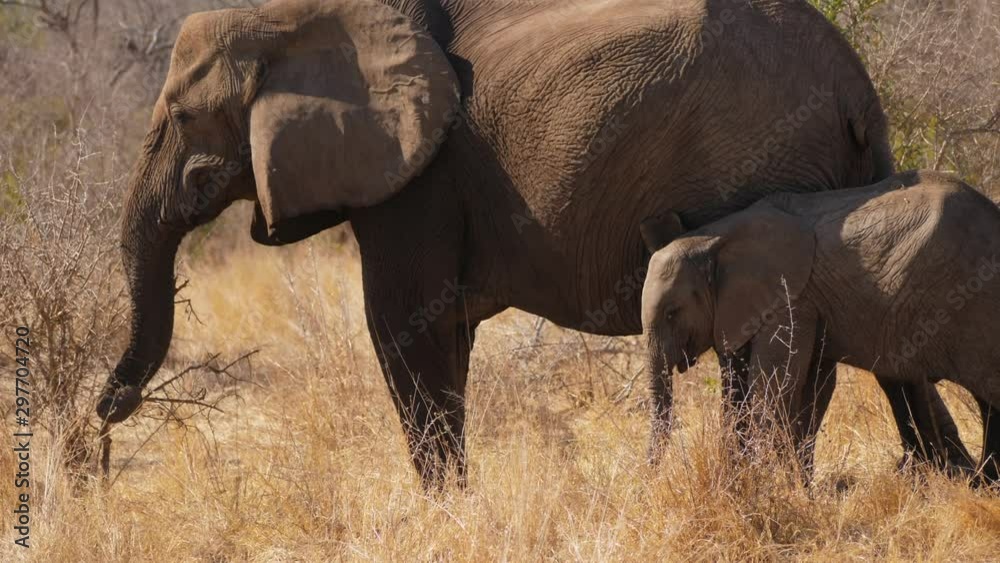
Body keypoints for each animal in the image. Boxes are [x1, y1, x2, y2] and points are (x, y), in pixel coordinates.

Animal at [640, 170, 1000, 481]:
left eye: (672, 312)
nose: (650, 478)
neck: (713, 239)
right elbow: (809, 390)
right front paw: (795, 486)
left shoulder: (791, 300)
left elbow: (775, 386)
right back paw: (987, 481)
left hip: (974, 301)